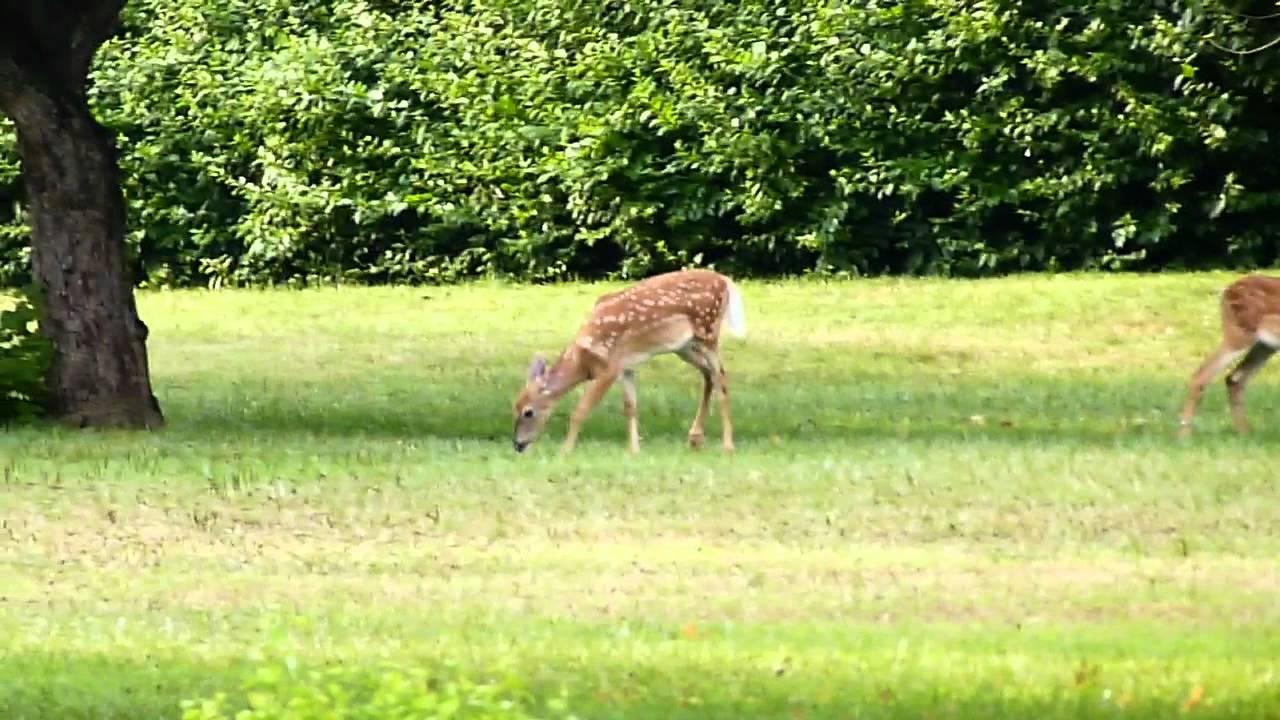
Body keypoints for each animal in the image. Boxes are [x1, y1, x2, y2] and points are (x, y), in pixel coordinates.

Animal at [511, 269, 746, 454]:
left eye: (528, 412)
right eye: (514, 408)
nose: (518, 445)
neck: (583, 360)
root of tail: (725, 280)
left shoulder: (609, 368)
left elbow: (581, 409)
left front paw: (565, 451)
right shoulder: (626, 367)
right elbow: (630, 407)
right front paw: (634, 450)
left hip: (708, 332)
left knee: (721, 377)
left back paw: (727, 446)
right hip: (685, 346)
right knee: (708, 375)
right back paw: (695, 438)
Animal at [1179, 274, 1280, 437]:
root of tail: (1226, 291)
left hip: (1264, 345)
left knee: (1234, 378)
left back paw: (1245, 434)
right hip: (1238, 334)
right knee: (1202, 374)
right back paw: (1184, 436)